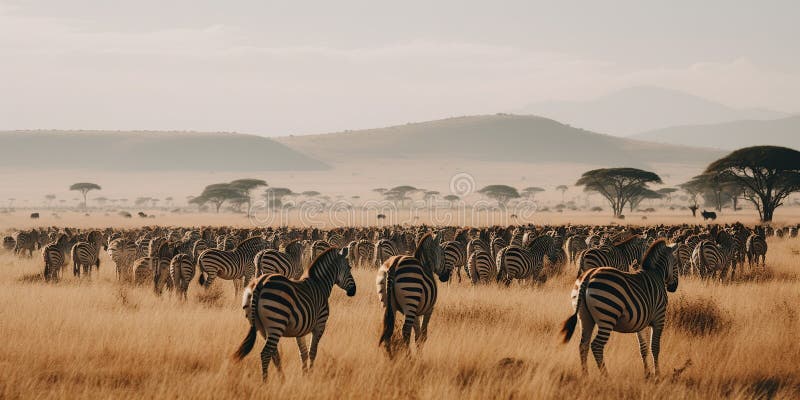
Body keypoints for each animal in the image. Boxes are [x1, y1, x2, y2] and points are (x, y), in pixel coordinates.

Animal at [232, 248, 356, 381]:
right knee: (265, 353)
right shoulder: (320, 325)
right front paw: (311, 375)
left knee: (274, 353)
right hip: (276, 323)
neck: (320, 284)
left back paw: (282, 379)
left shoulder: (300, 329)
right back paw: (265, 381)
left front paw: (304, 374)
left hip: (261, 328)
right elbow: (312, 352)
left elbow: (303, 353)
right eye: (349, 268)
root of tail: (260, 282)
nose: (354, 291)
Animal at [560, 240, 679, 377]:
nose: (674, 287)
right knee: (596, 346)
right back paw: (606, 376)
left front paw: (647, 374)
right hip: (607, 315)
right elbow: (655, 347)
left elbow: (643, 348)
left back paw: (586, 375)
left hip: (584, 317)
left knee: (583, 345)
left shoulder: (642, 321)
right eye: (676, 264)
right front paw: (657, 374)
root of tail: (588, 277)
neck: (656, 274)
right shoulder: (659, 317)